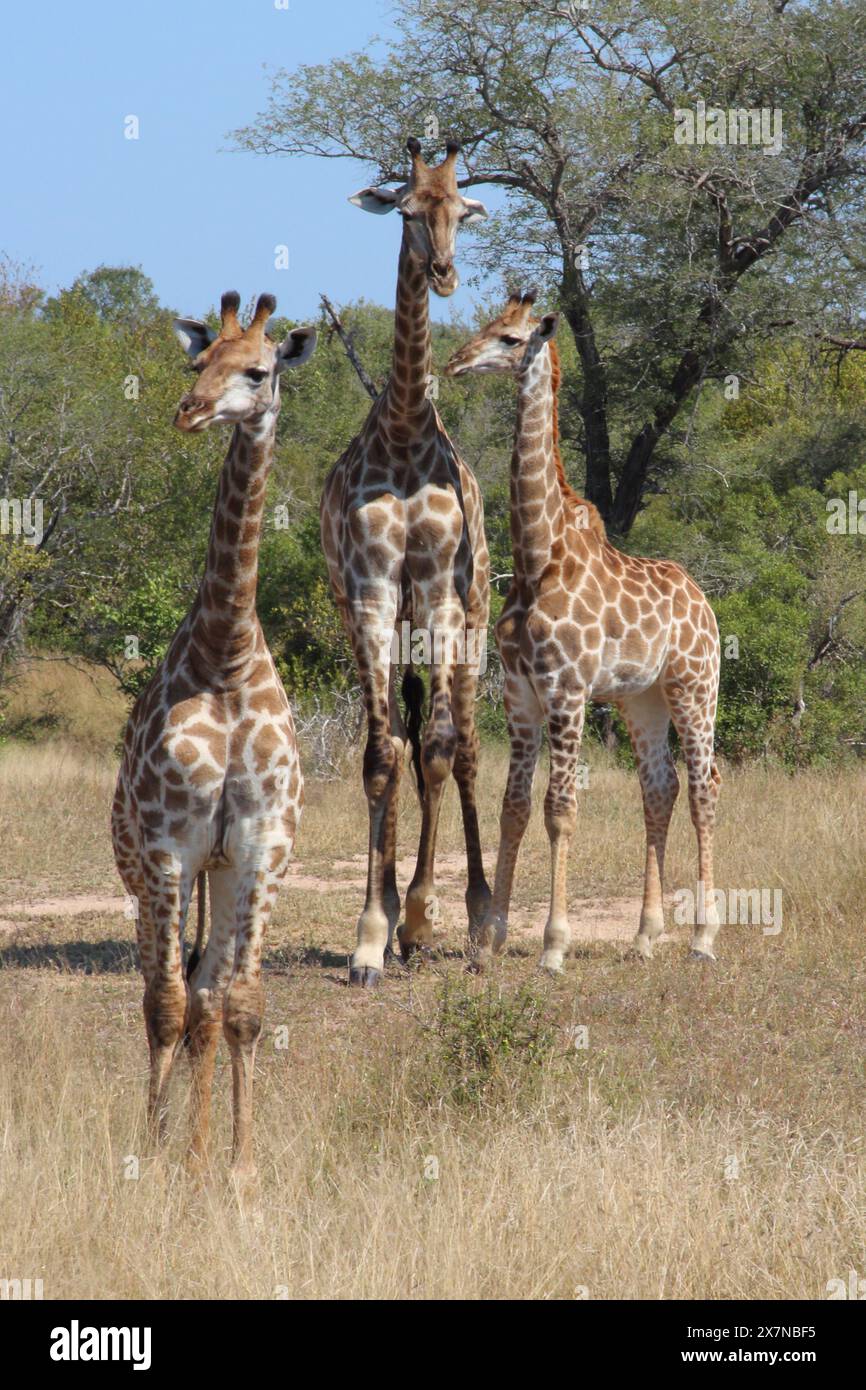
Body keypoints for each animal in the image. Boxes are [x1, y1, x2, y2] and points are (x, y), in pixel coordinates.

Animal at [445, 294, 722, 973]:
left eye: (511, 337)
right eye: (486, 326)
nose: (456, 361)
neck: (538, 557)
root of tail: (707, 605)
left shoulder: (566, 690)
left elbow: (560, 809)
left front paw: (553, 945)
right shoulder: (520, 694)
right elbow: (514, 808)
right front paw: (489, 942)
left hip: (694, 688)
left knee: (704, 788)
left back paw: (703, 940)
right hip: (642, 699)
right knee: (660, 787)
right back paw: (646, 938)